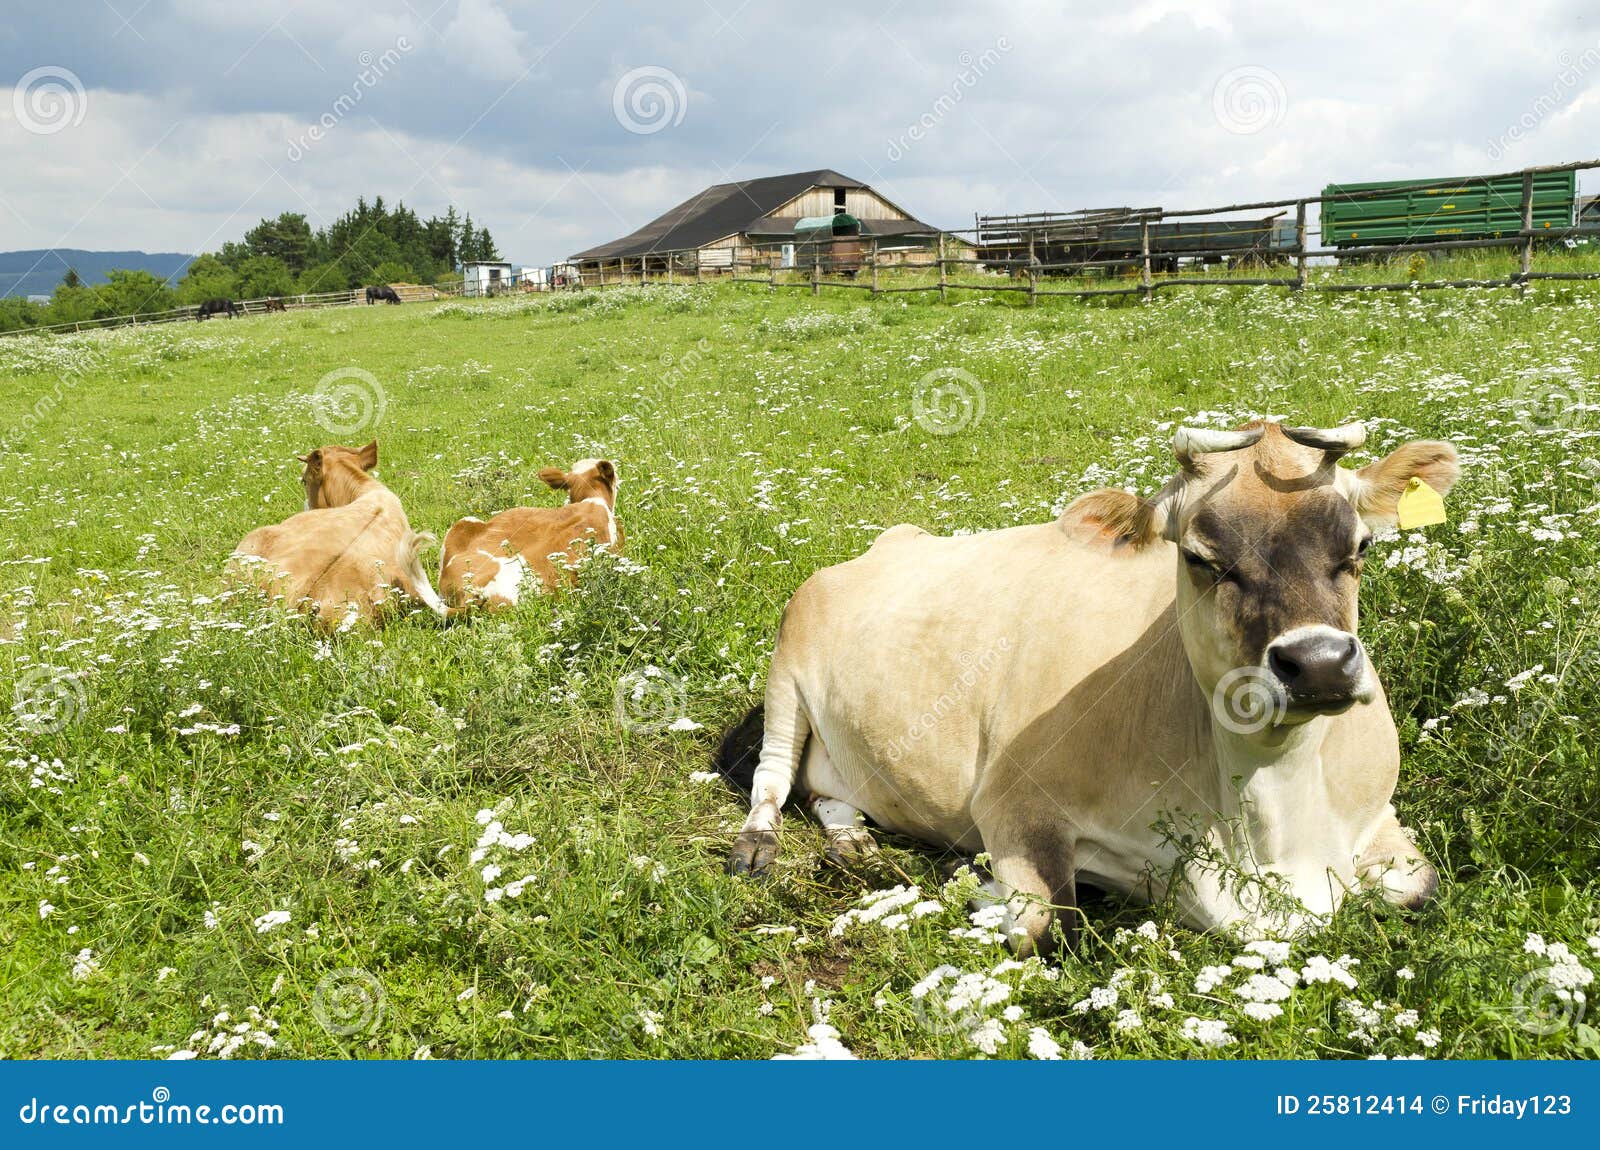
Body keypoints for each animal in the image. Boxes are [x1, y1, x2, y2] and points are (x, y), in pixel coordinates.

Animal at [718, 421, 1460, 955]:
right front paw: (974, 884)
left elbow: (1422, 885)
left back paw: (854, 841)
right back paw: (757, 846)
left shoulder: (1377, 816)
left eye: (1360, 547)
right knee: (774, 777)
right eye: (1201, 558)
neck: (1270, 824)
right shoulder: (1012, 801)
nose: (1320, 664)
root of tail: (891, 540)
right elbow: (1044, 926)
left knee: (826, 791)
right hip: (786, 669)